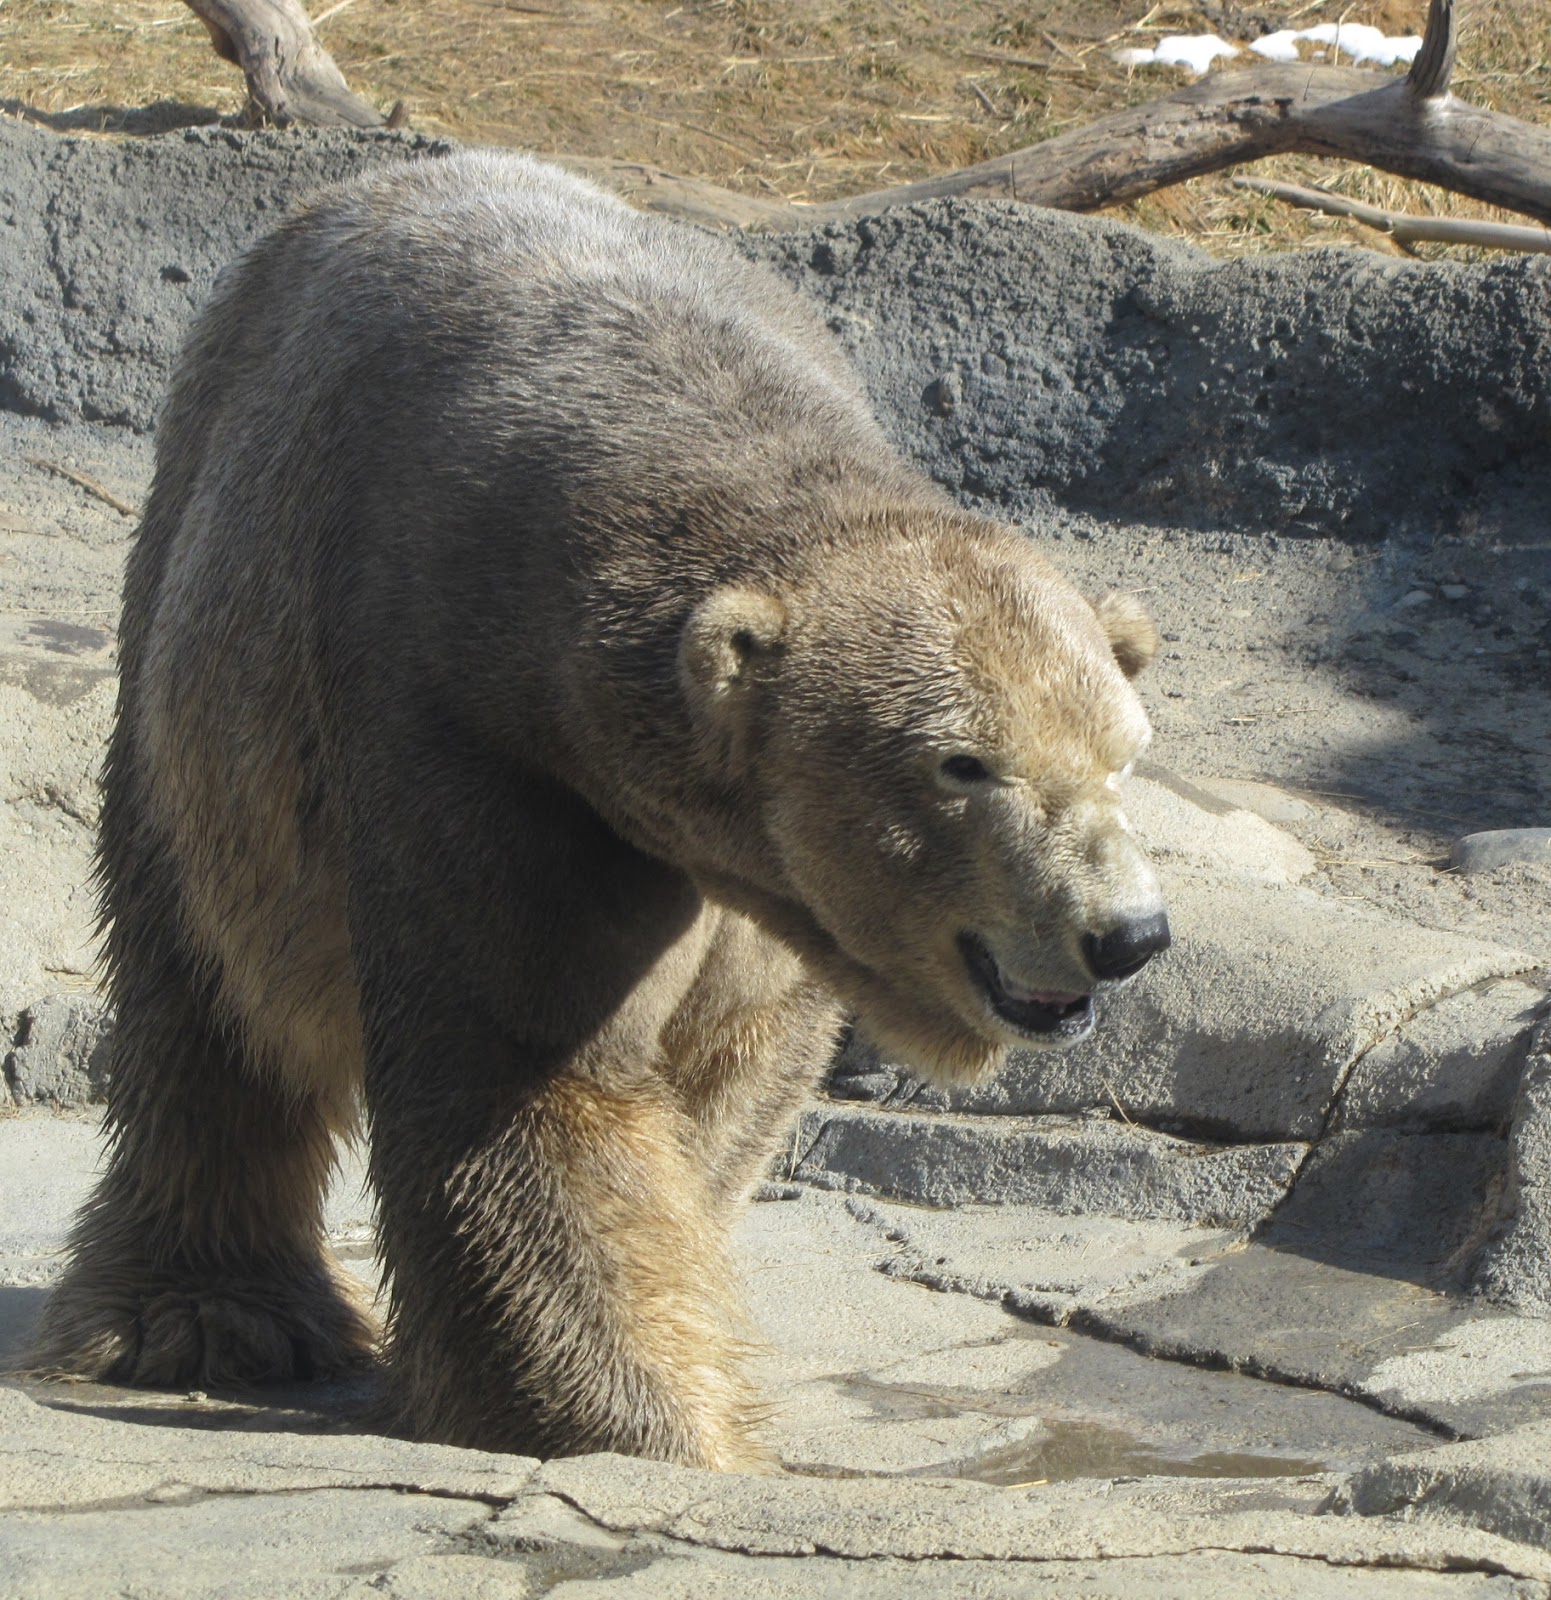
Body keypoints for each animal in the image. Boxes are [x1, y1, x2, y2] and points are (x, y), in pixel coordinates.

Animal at [32, 150, 1169, 1471]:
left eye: (1124, 755)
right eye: (965, 765)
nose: (1127, 935)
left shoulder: (755, 888)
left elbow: (727, 1072)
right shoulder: (480, 732)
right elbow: (529, 1065)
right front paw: (652, 1427)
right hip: (210, 635)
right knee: (205, 979)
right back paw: (208, 1318)